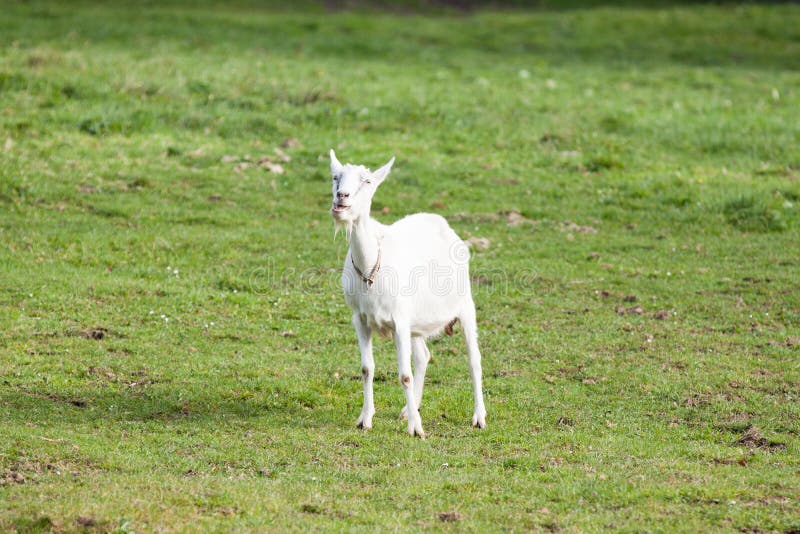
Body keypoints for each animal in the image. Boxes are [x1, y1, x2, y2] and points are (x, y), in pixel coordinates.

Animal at [329, 150, 486, 438]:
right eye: (336, 177)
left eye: (367, 181)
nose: (341, 198)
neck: (371, 267)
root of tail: (441, 222)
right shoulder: (360, 318)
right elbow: (367, 369)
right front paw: (365, 419)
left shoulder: (399, 320)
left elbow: (404, 374)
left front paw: (416, 429)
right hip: (416, 322)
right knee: (423, 356)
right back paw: (408, 409)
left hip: (465, 304)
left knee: (474, 360)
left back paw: (479, 417)